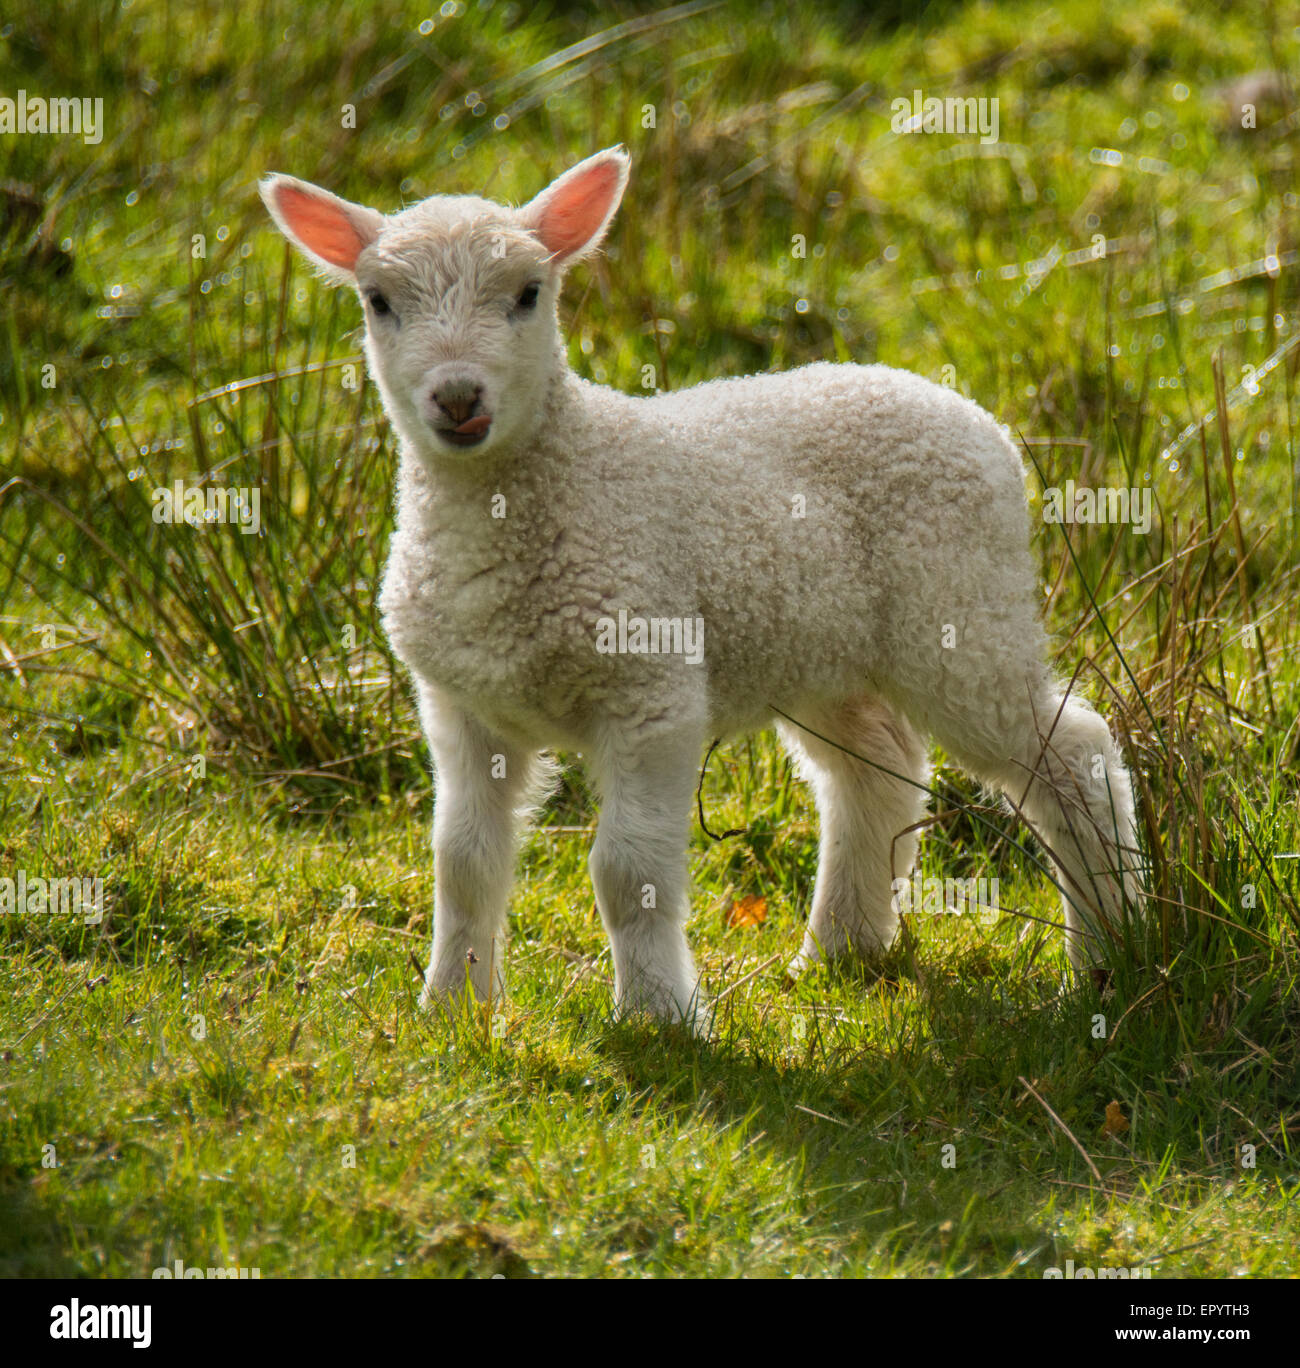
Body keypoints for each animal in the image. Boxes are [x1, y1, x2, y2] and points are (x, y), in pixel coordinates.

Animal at [259, 146, 1145, 1030]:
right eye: (378, 302)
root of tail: (966, 410)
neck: (548, 488)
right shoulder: (461, 704)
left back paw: (1109, 950)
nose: (457, 398)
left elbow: (626, 869)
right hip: (820, 649)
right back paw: (841, 949)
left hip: (959, 609)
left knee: (1074, 753)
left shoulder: (649, 688)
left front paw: (658, 1017)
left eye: (528, 293)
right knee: (873, 771)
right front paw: (452, 1004)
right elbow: (463, 862)